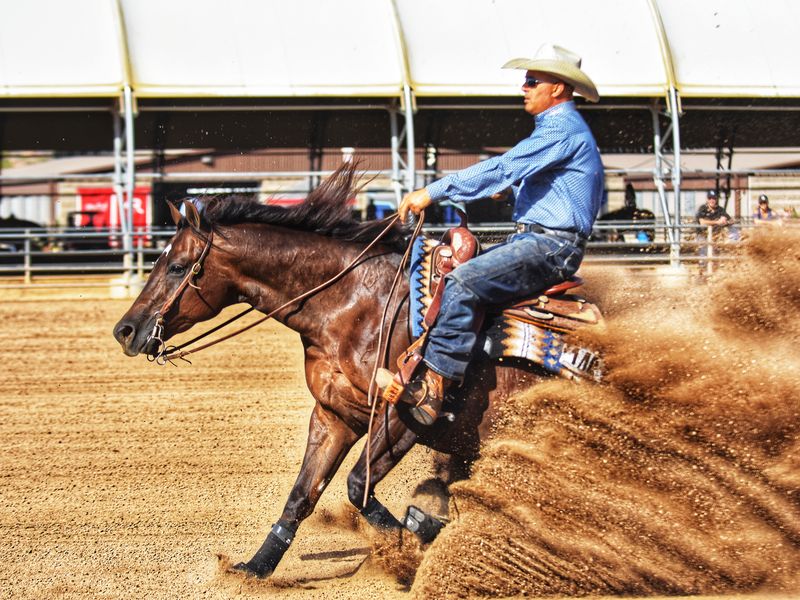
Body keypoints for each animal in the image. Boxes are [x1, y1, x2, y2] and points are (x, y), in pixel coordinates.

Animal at [112, 164, 552, 578]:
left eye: (177, 266)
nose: (125, 330)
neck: (352, 305)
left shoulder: (406, 415)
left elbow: (358, 485)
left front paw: (422, 534)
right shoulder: (333, 415)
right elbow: (302, 494)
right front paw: (255, 568)